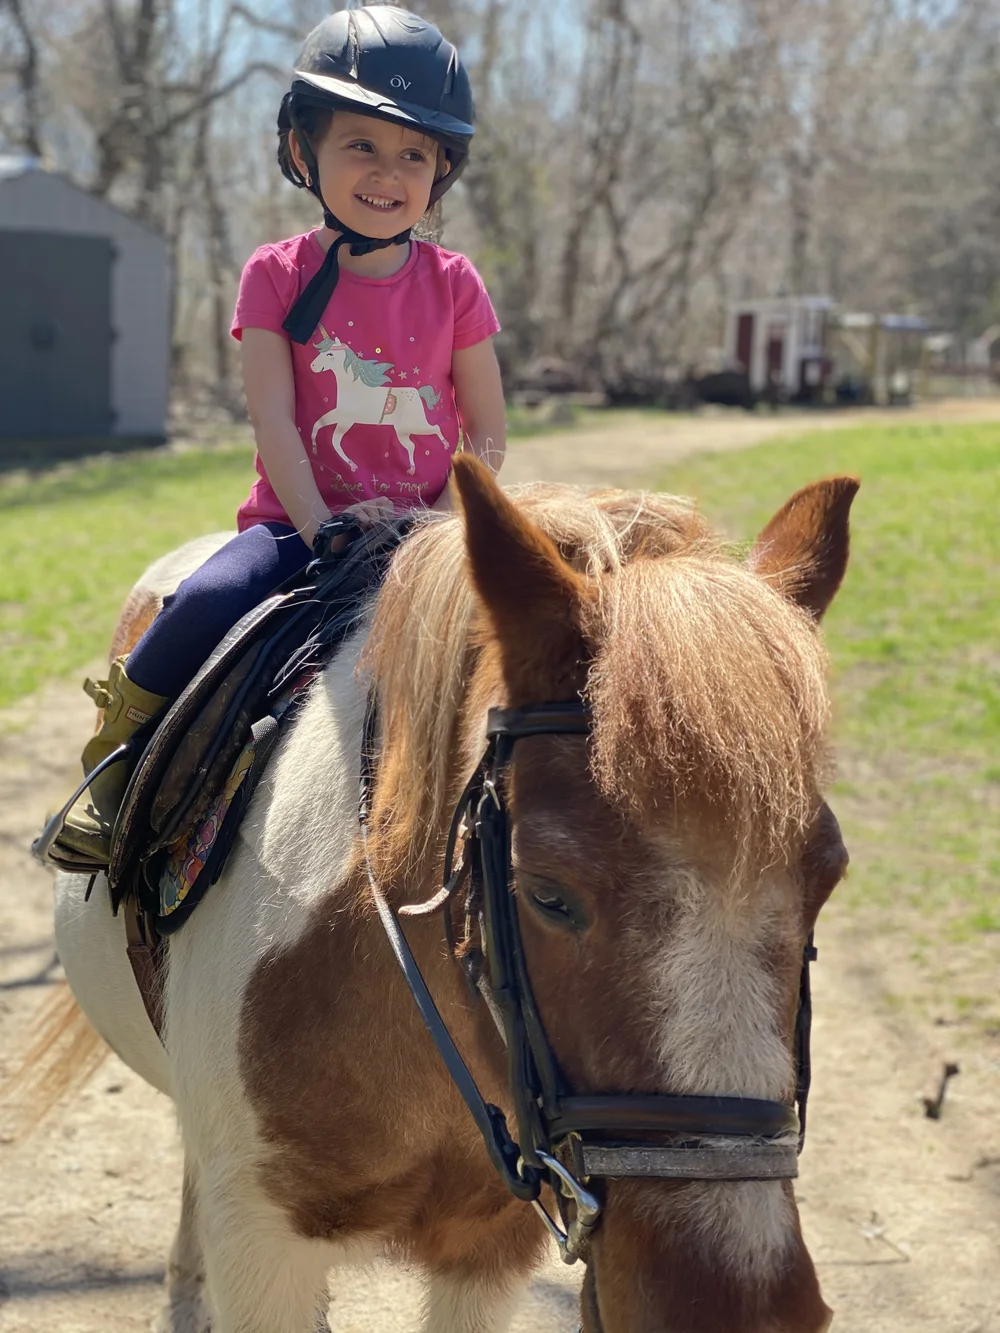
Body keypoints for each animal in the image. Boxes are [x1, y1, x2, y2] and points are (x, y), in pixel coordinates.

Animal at [310, 323, 446, 474]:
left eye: (330, 354)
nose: (313, 366)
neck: (352, 388)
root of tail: (417, 392)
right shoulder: (341, 416)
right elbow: (319, 424)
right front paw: (315, 448)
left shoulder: (346, 419)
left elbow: (334, 440)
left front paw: (352, 465)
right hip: (403, 430)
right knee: (412, 445)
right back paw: (412, 469)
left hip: (414, 425)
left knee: (435, 428)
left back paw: (445, 445)